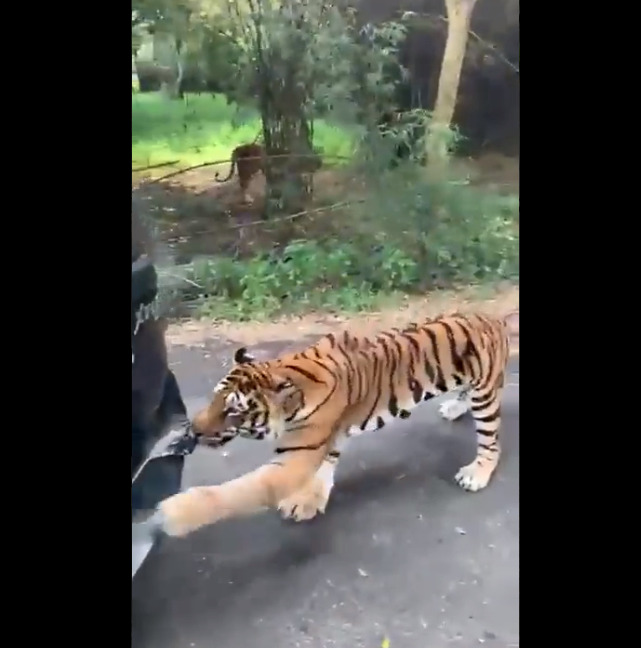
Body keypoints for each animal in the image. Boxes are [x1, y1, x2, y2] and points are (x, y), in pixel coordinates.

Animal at [154, 311, 518, 539]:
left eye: (233, 412)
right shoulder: (329, 434)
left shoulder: (294, 458)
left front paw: (172, 514)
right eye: (214, 399)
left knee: (491, 442)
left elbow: (240, 491)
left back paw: (476, 474)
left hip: (485, 394)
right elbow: (328, 462)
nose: (193, 430)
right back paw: (454, 407)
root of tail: (493, 319)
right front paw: (309, 499)